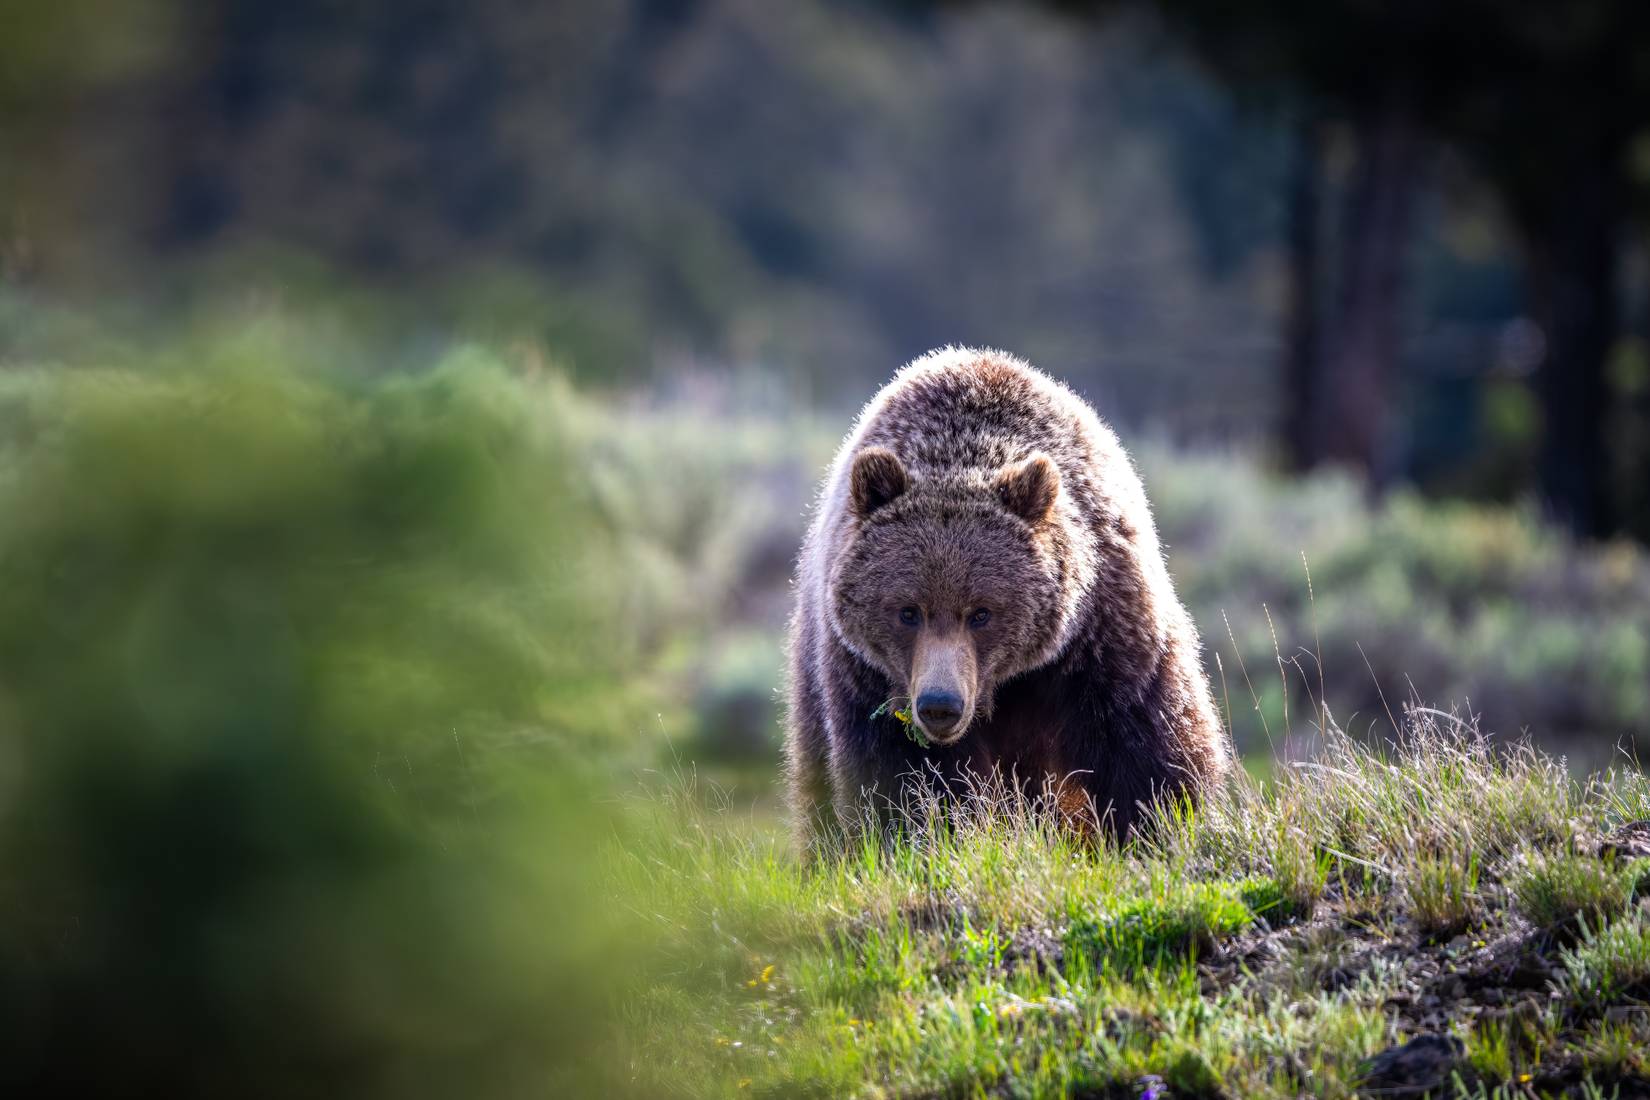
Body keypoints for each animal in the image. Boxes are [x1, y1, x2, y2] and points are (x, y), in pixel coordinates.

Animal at [784, 346, 1229, 850]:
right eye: (907, 611)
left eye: (981, 613)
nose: (940, 705)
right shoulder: (868, 674)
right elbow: (905, 779)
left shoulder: (1101, 633)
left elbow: (1148, 745)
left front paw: (1159, 829)